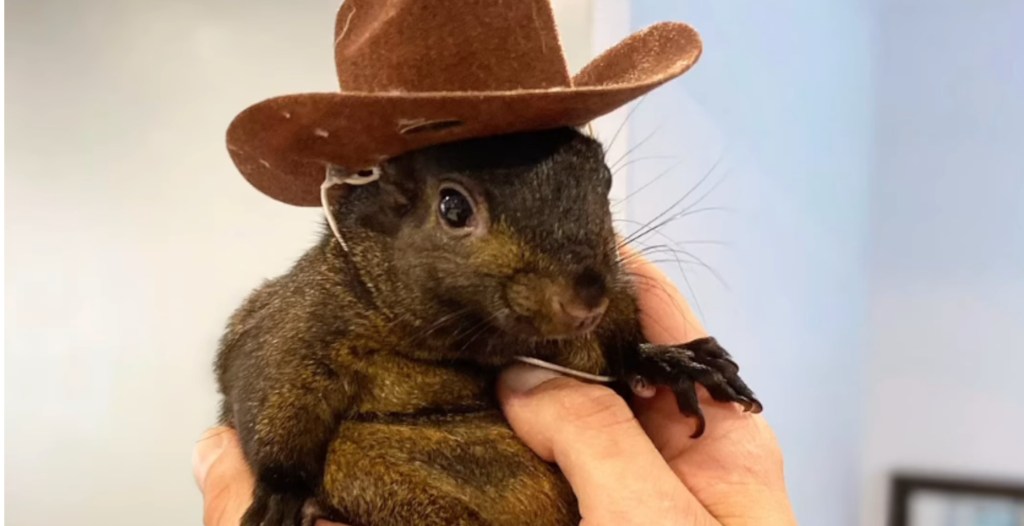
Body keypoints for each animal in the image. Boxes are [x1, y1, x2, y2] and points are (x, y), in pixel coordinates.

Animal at [214, 126, 762, 526]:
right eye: (453, 207)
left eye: (604, 179)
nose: (587, 297)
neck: (472, 341)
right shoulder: (298, 322)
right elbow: (269, 392)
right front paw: (282, 497)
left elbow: (621, 351)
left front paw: (673, 361)